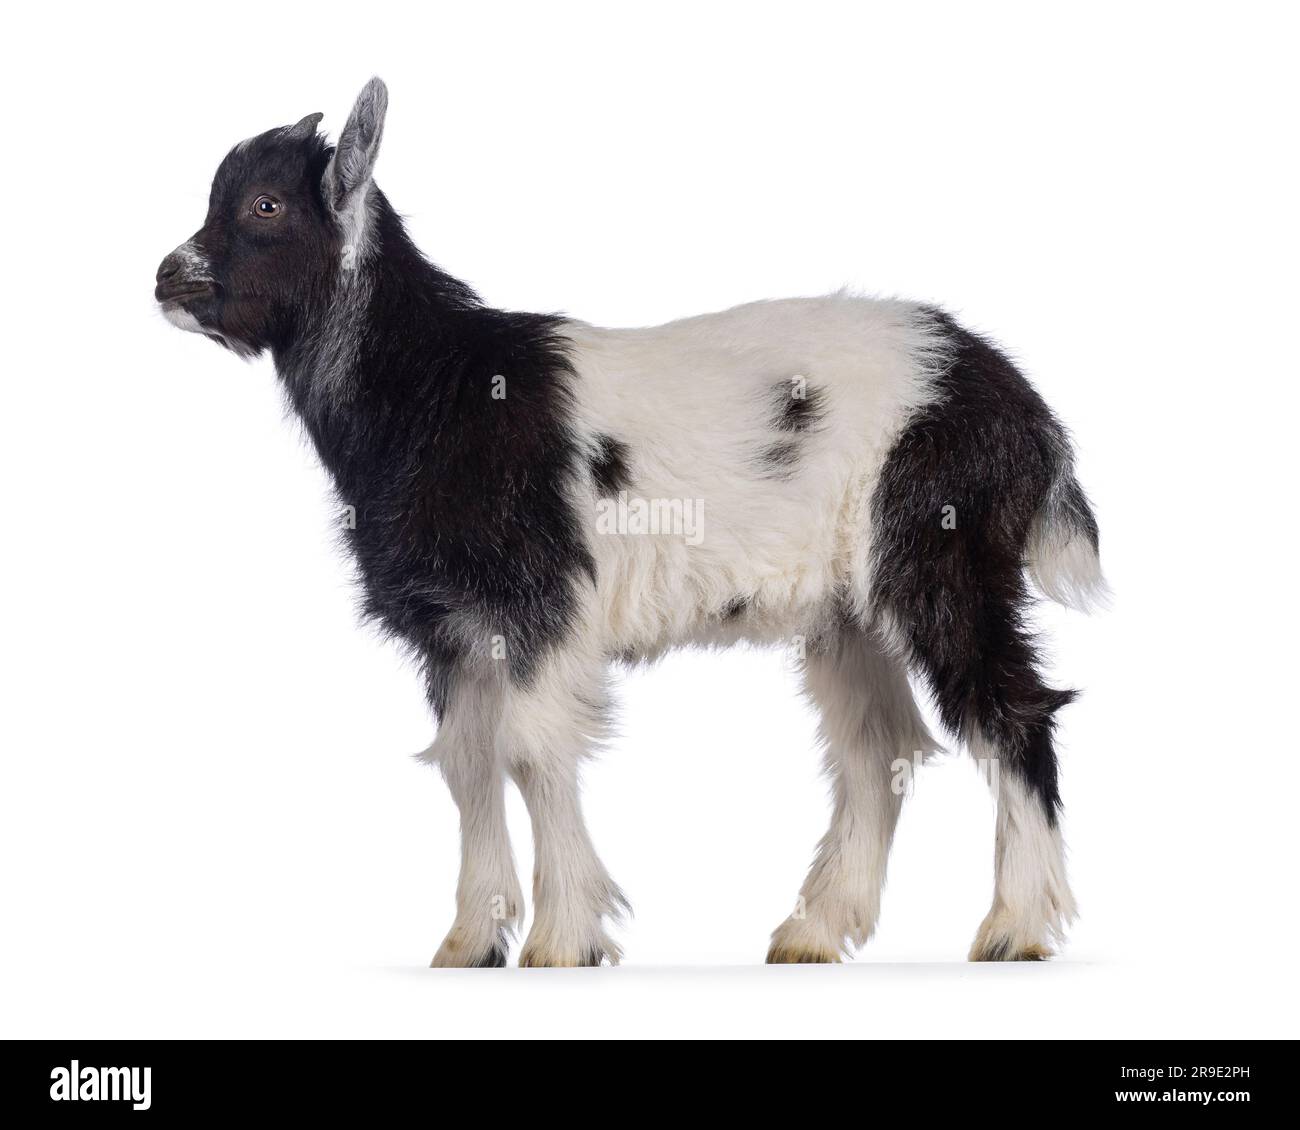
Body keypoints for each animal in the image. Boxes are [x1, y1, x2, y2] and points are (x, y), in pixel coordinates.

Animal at [156, 79, 1105, 967]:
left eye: (265, 206)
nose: (167, 277)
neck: (436, 385)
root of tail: (1021, 407)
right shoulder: (454, 629)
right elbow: (467, 762)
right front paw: (471, 941)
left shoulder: (537, 608)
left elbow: (532, 753)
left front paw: (561, 940)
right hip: (847, 607)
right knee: (877, 748)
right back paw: (814, 930)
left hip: (943, 554)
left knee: (1011, 711)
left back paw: (1015, 927)